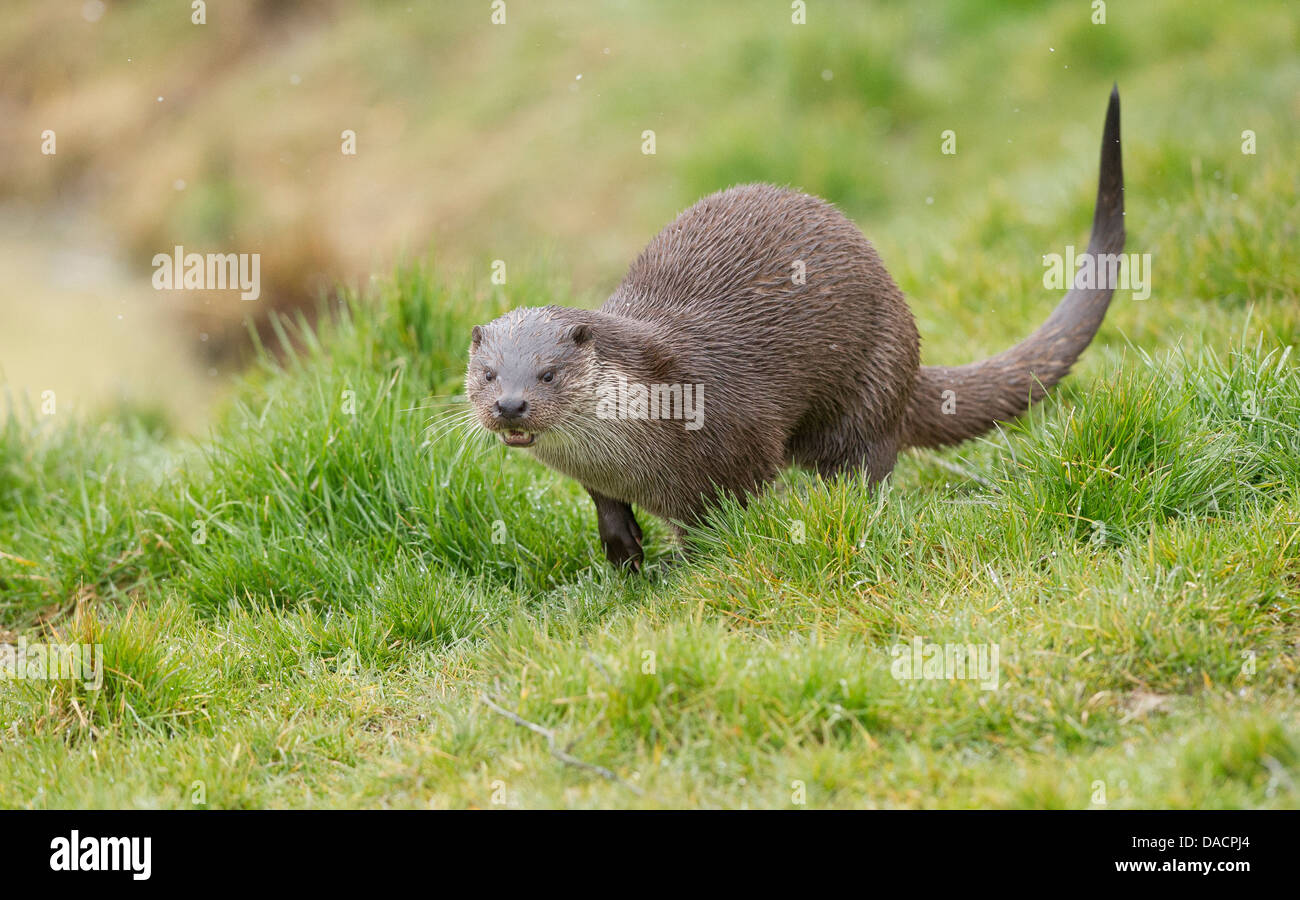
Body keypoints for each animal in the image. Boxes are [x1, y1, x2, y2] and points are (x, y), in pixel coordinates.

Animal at [466, 88, 1124, 571]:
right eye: (488, 373)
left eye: (548, 373)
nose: (510, 404)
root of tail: (910, 363)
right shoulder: (599, 476)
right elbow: (605, 507)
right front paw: (624, 552)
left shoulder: (738, 439)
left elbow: (725, 517)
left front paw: (697, 568)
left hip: (867, 390)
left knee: (869, 466)